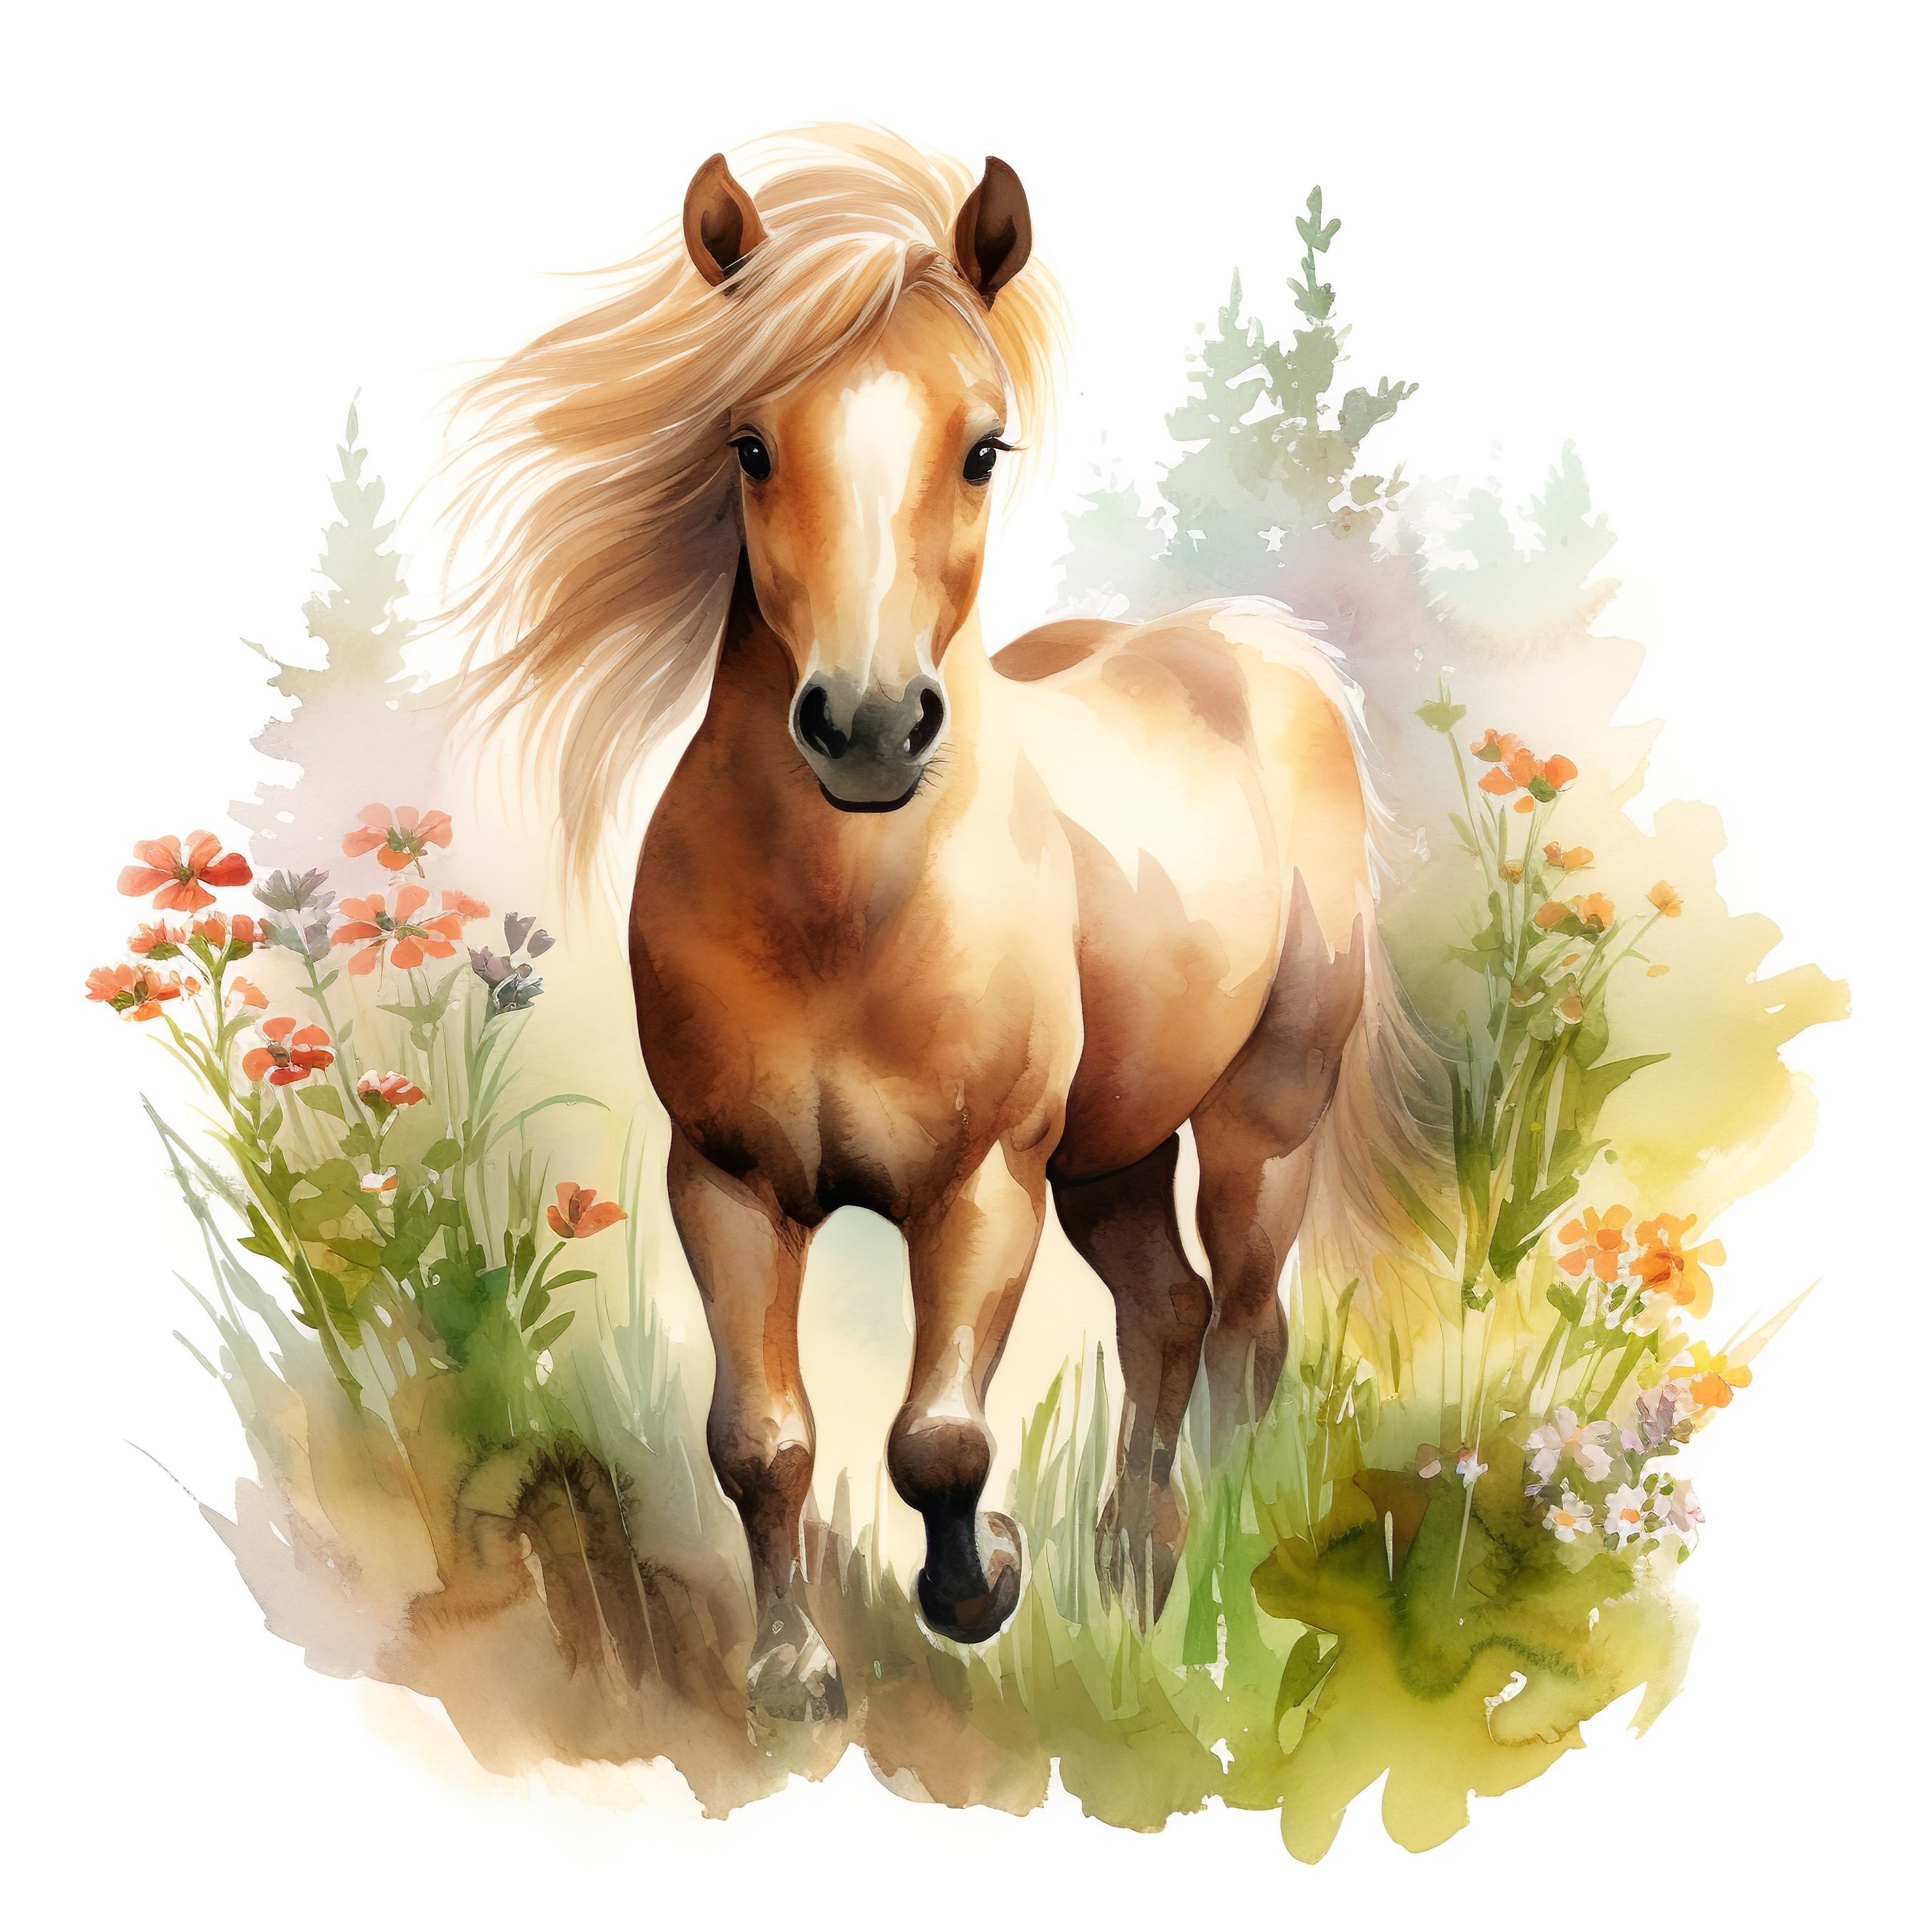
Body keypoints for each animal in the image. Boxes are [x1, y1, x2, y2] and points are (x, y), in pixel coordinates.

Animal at [452, 127, 1418, 1723]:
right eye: (749, 443)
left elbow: (940, 1441)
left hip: (1258, 1126)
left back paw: (1214, 1593)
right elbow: (762, 1440)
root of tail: (1257, 651)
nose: (866, 726)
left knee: (1245, 1334)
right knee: (1164, 1317)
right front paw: (792, 1669)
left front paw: (985, 1585)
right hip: (1111, 1153)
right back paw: (1135, 1571)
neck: (846, 921)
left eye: (981, 447)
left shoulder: (980, 1187)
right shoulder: (730, 1183)